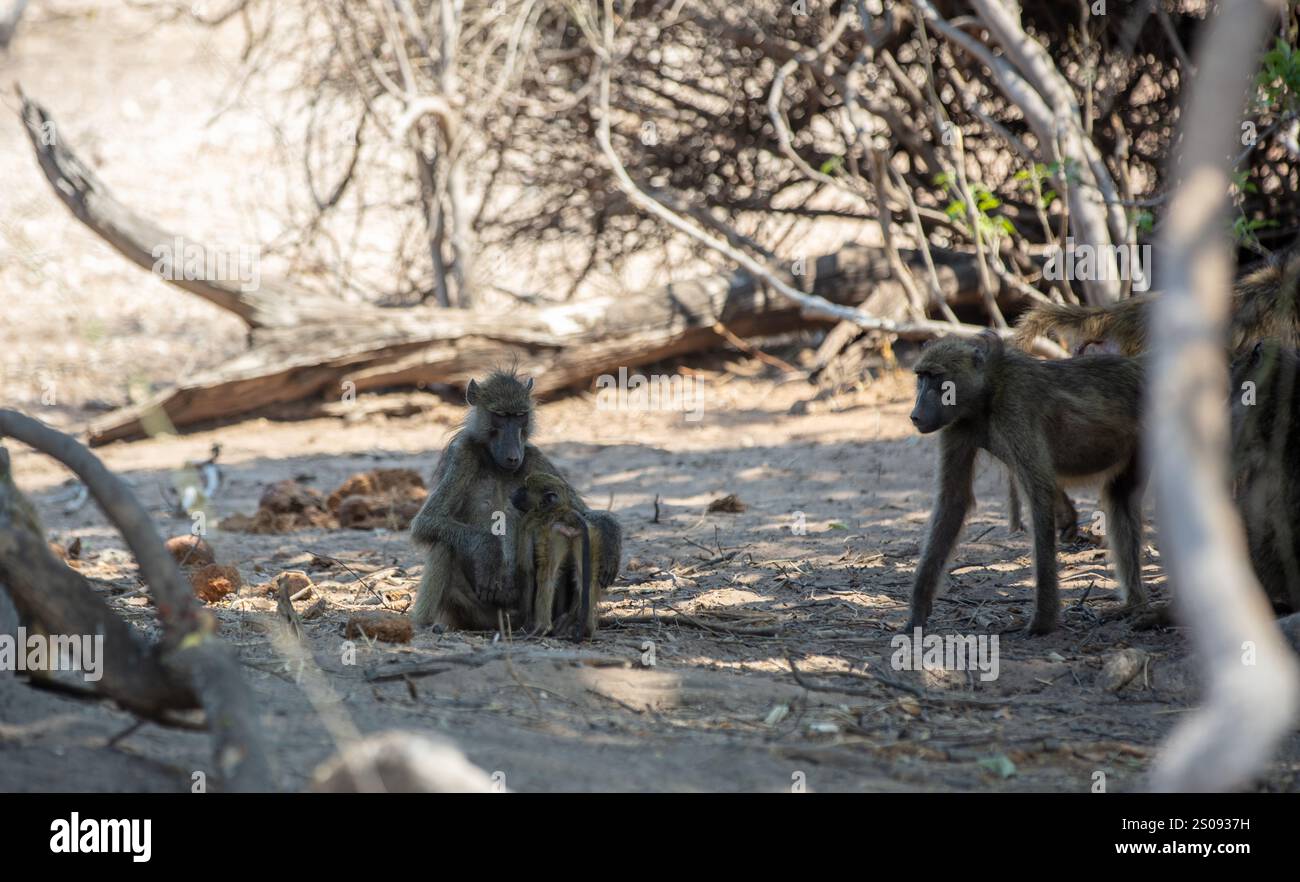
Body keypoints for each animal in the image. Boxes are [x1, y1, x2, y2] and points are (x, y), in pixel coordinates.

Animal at [510, 473, 602, 640]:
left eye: (525, 488)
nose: (513, 493)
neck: (557, 509)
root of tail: (566, 515)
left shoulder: (527, 521)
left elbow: (526, 569)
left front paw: (525, 623)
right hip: (588, 536)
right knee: (585, 577)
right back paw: (588, 629)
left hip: (554, 534)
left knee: (547, 575)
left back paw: (542, 628)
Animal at [907, 331, 1147, 635]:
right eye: (920, 377)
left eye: (936, 377)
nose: (915, 415)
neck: (987, 392)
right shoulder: (957, 425)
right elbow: (953, 500)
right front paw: (917, 613)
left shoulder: (1014, 408)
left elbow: (1039, 490)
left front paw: (1043, 621)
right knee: (1121, 496)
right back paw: (1134, 605)